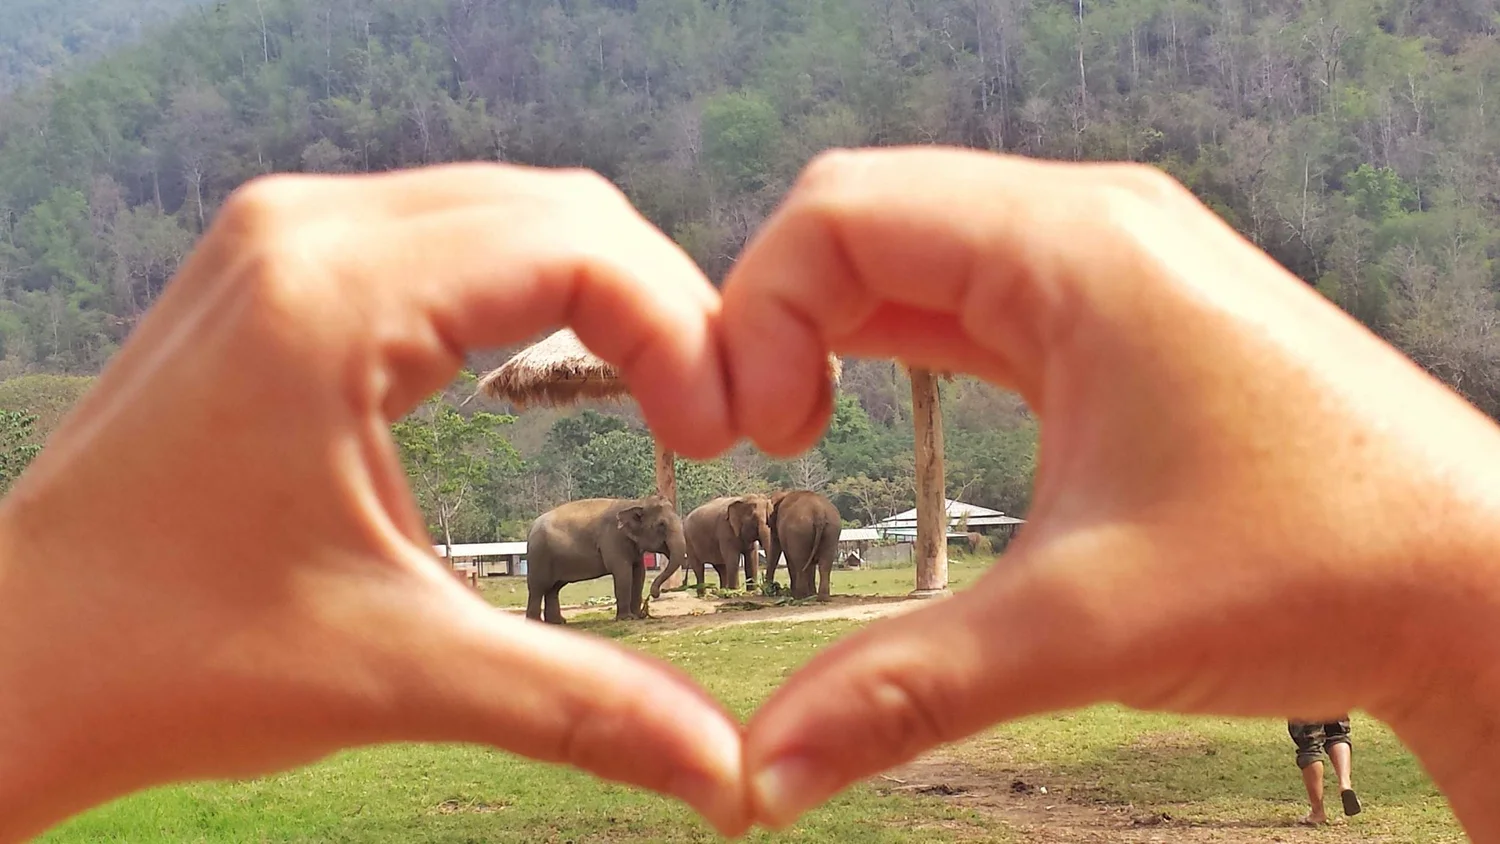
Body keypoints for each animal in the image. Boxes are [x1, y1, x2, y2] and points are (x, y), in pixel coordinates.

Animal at [524, 495, 688, 624]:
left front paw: (636, 616)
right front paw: (627, 618)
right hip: (539, 555)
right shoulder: (613, 539)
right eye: (661, 525)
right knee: (538, 587)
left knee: (553, 589)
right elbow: (624, 573)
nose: (655, 593)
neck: (636, 502)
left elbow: (639, 573)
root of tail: (532, 527)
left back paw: (557, 622)